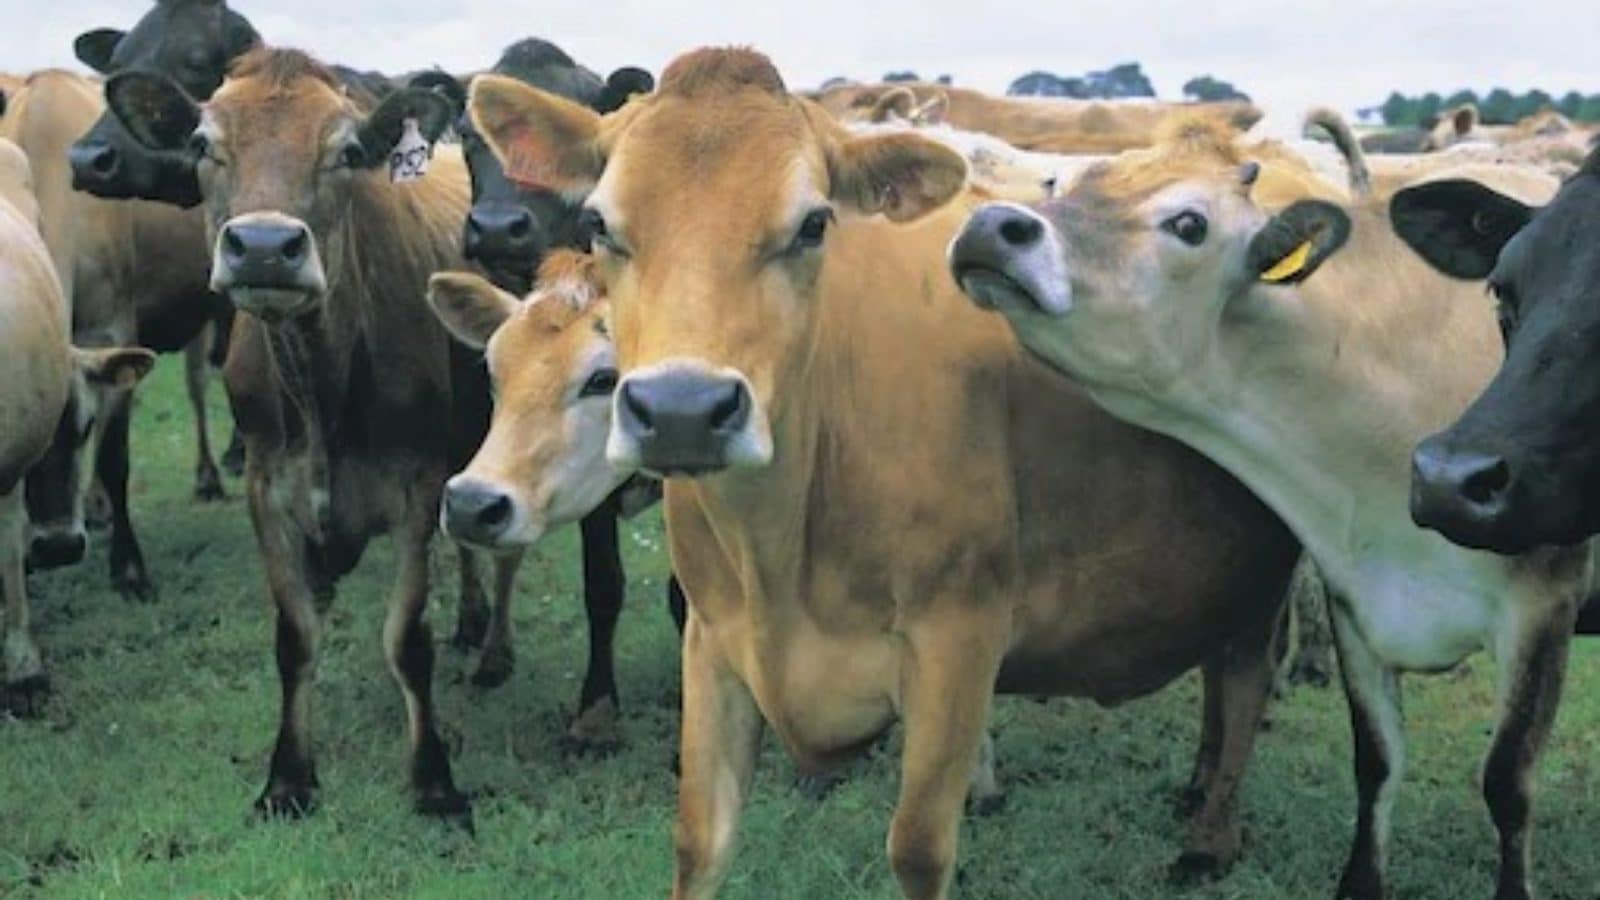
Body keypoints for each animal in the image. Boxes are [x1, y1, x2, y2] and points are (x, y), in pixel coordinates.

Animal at [2, 70, 228, 602]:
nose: (57, 547)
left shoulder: (114, 329)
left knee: (201, 384)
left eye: (81, 428)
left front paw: (129, 568)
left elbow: (114, 458)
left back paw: (213, 474)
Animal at [106, 47, 481, 818]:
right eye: (202, 144)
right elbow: (295, 637)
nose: (263, 247)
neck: (319, 386)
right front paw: (287, 776)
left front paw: (433, 778)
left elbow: (408, 640)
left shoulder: (418, 488)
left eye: (348, 152)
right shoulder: (265, 486)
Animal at [468, 48, 1305, 898]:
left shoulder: (957, 646)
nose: (681, 409)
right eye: (600, 223)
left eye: (814, 223)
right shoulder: (711, 643)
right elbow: (698, 843)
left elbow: (919, 849)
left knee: (1248, 671)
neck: (784, 540)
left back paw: (1211, 833)